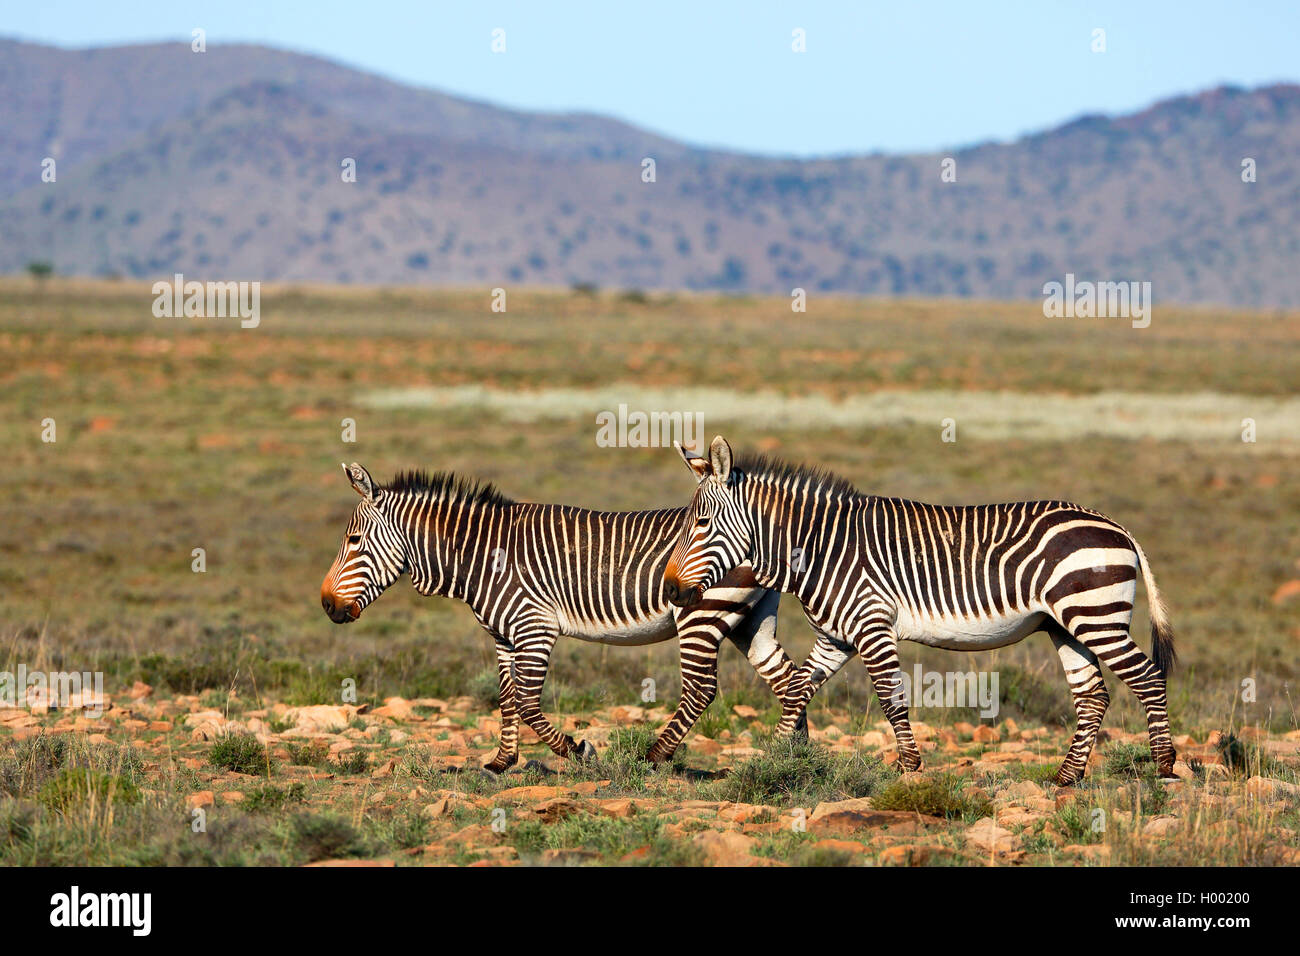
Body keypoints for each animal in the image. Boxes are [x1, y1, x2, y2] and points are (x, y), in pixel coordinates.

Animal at [320, 462, 832, 773]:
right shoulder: (503, 636)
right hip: (748, 617)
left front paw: (577, 750)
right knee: (789, 679)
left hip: (702, 611)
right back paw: (793, 758)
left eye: (353, 541)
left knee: (703, 690)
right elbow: (506, 699)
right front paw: (502, 762)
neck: (481, 558)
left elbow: (528, 703)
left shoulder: (534, 628)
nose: (326, 605)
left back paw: (656, 756)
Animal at [662, 437, 1177, 786]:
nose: (669, 590)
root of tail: (1119, 527)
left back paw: (1164, 766)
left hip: (1096, 616)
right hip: (1067, 625)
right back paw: (1066, 777)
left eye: (701, 524)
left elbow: (891, 698)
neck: (822, 549)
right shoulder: (836, 637)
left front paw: (909, 766)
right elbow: (796, 692)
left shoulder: (872, 625)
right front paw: (775, 757)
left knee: (1148, 678)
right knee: (1093, 696)